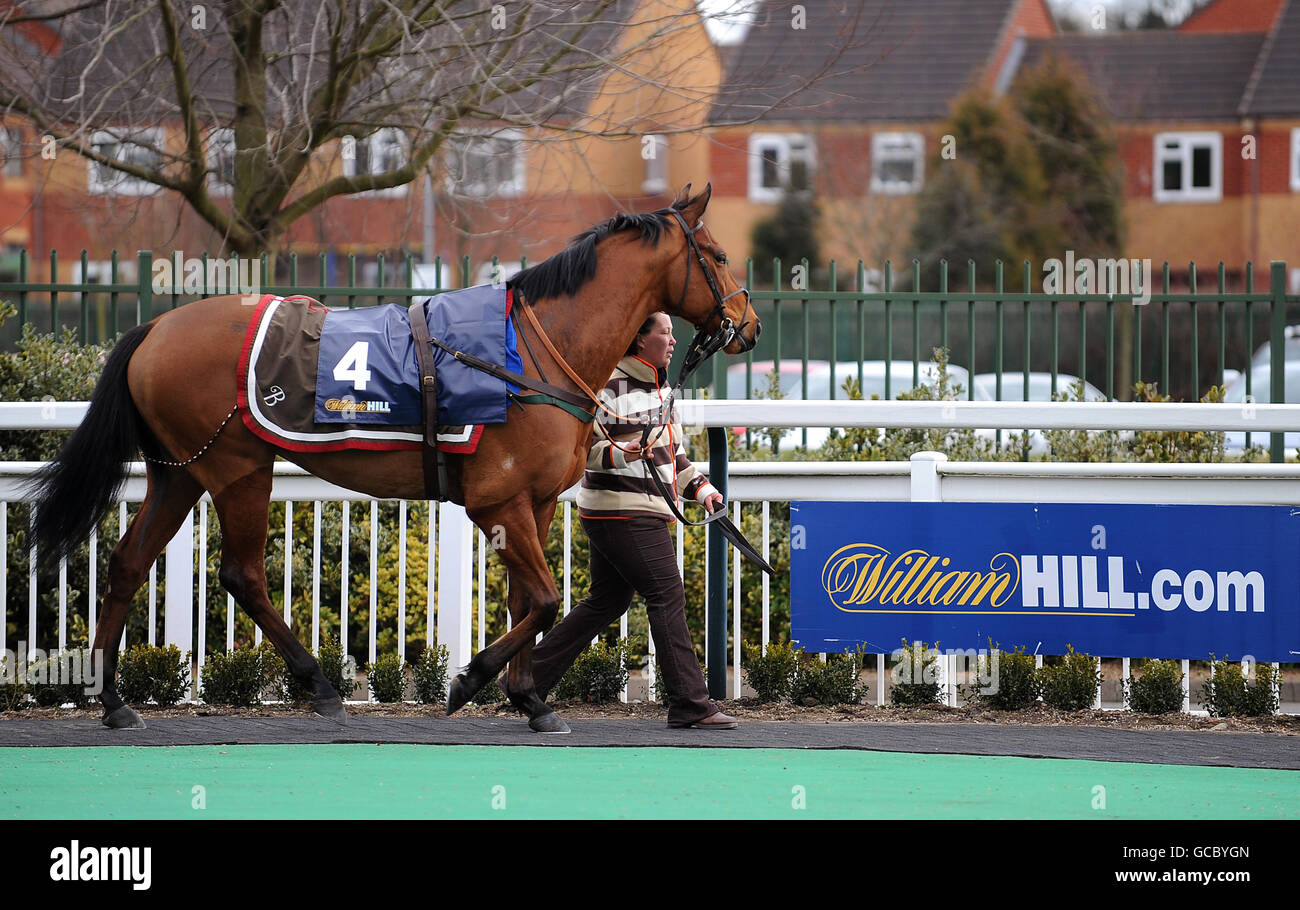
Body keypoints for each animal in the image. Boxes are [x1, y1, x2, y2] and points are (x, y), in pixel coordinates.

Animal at [29, 183, 759, 733]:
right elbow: (547, 599)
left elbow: (528, 600)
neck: (533, 349)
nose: (748, 326)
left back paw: (115, 702)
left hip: (178, 474)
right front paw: (471, 681)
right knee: (242, 574)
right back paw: (320, 686)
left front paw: (530, 698)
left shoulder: (536, 500)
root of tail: (155, 326)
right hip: (237, 469)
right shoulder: (495, 499)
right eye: (720, 254)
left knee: (128, 563)